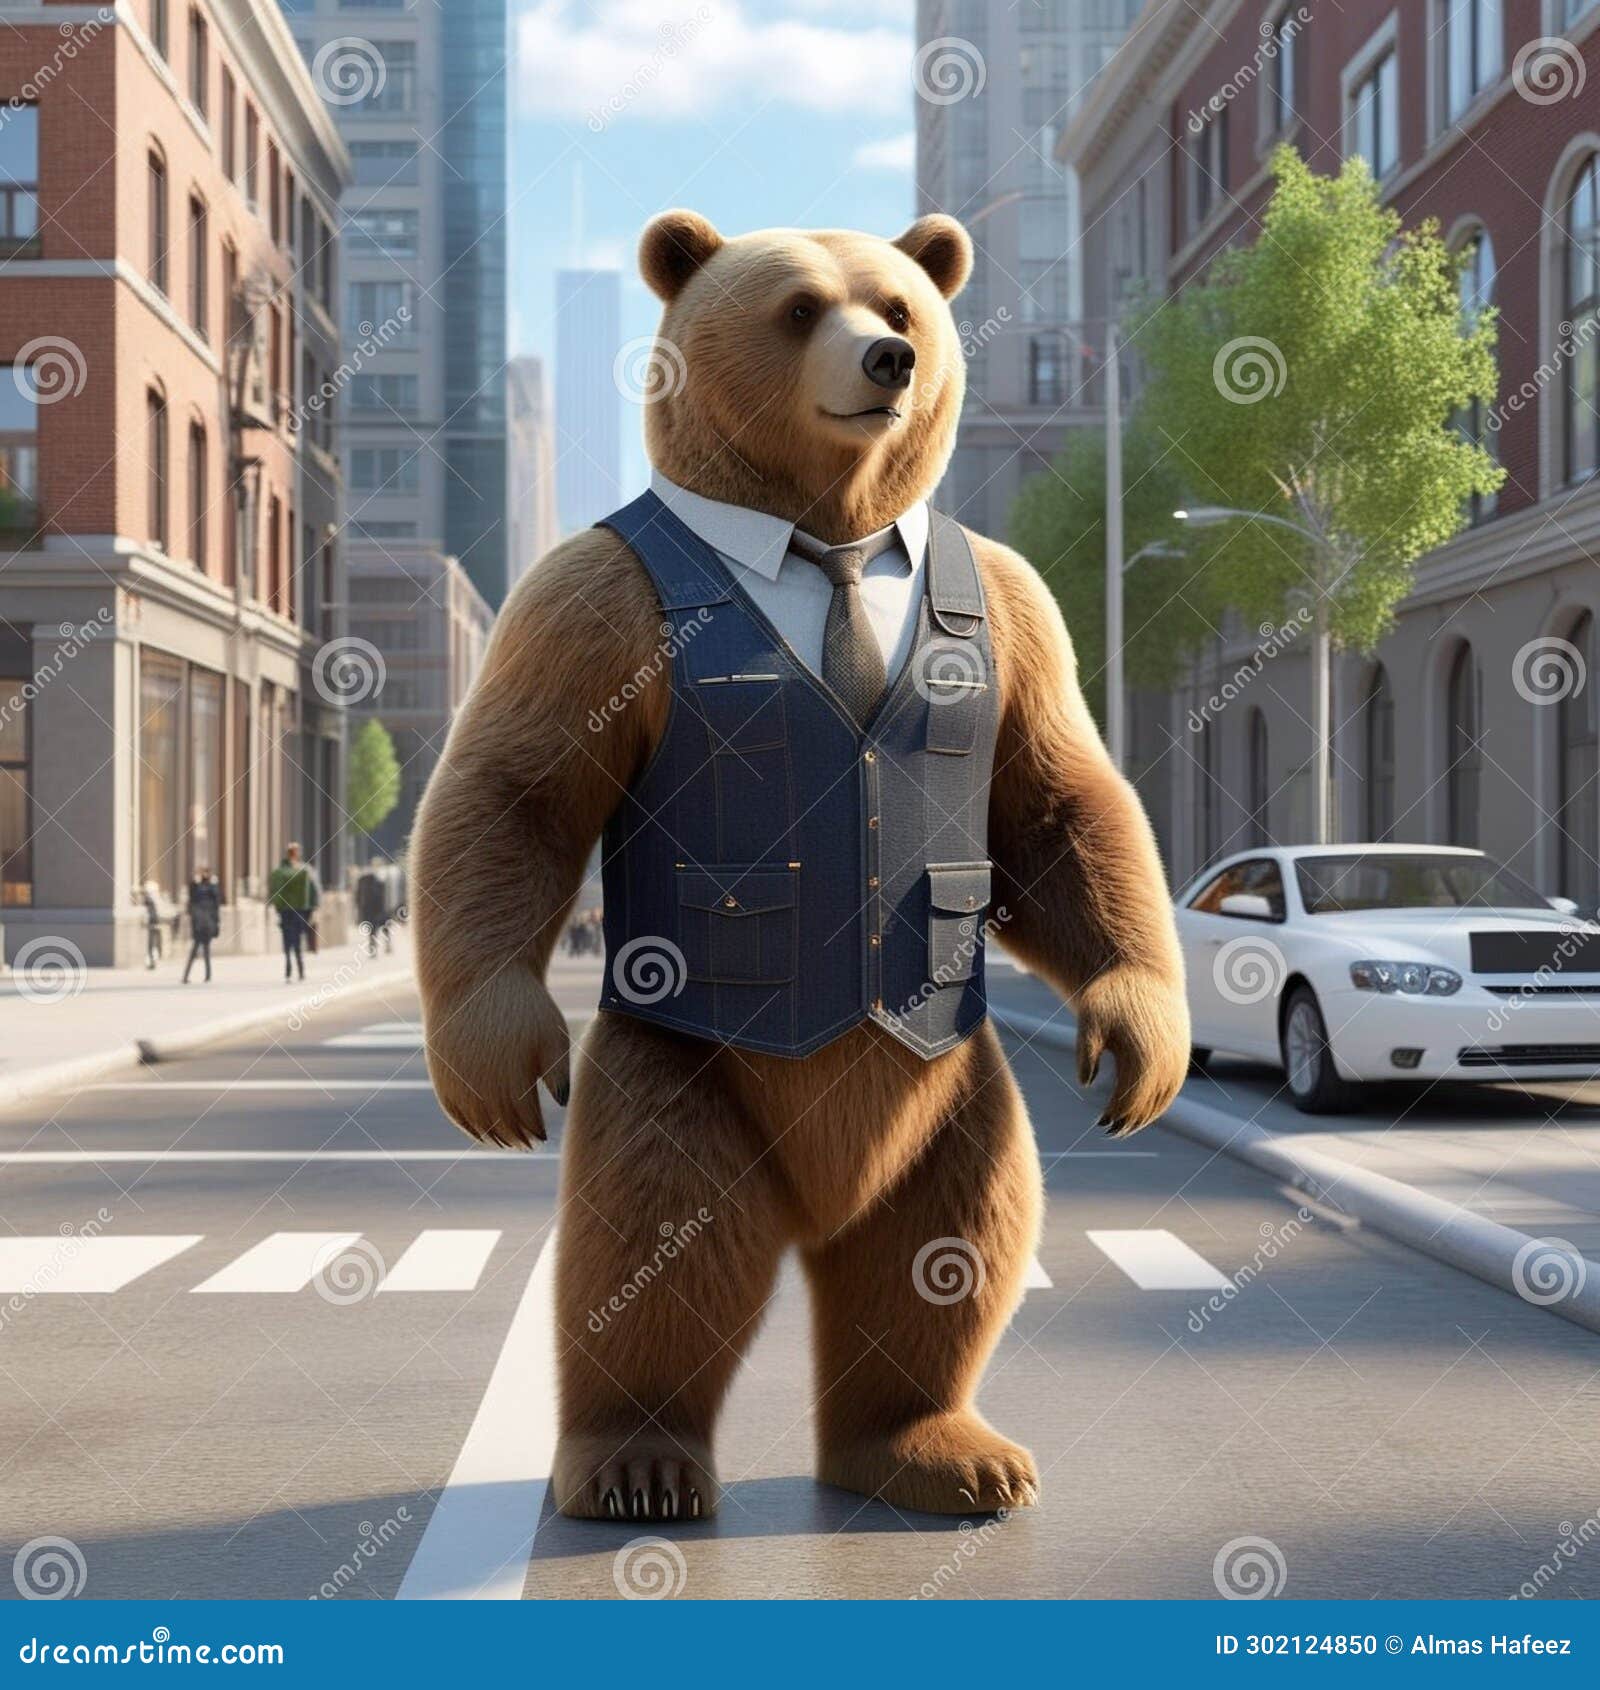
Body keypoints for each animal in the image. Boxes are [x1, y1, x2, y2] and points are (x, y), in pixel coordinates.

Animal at [410, 210, 1190, 1521]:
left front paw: (1140, 1038)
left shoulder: (1014, 607)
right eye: (797, 308)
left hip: (953, 1087)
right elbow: (514, 790)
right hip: (689, 1065)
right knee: (657, 1235)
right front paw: (497, 1063)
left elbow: (1060, 799)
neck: (831, 537)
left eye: (900, 304)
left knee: (947, 1242)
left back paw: (936, 1448)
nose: (888, 359)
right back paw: (635, 1461)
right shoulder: (590, 605)